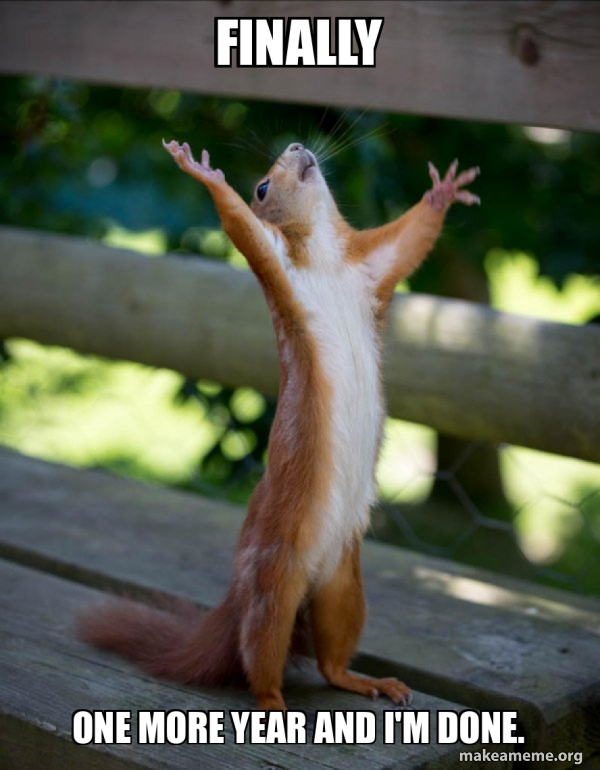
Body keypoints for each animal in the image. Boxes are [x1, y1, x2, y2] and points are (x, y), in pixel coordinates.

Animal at [78, 139, 479, 711]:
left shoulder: (372, 267)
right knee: (259, 655)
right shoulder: (276, 264)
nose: (296, 146)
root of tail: (238, 596)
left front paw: (442, 192)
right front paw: (204, 173)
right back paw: (273, 702)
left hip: (344, 586)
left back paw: (366, 681)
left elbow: (410, 240)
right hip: (274, 584)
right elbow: (240, 225)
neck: (326, 258)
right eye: (262, 187)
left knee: (332, 659)